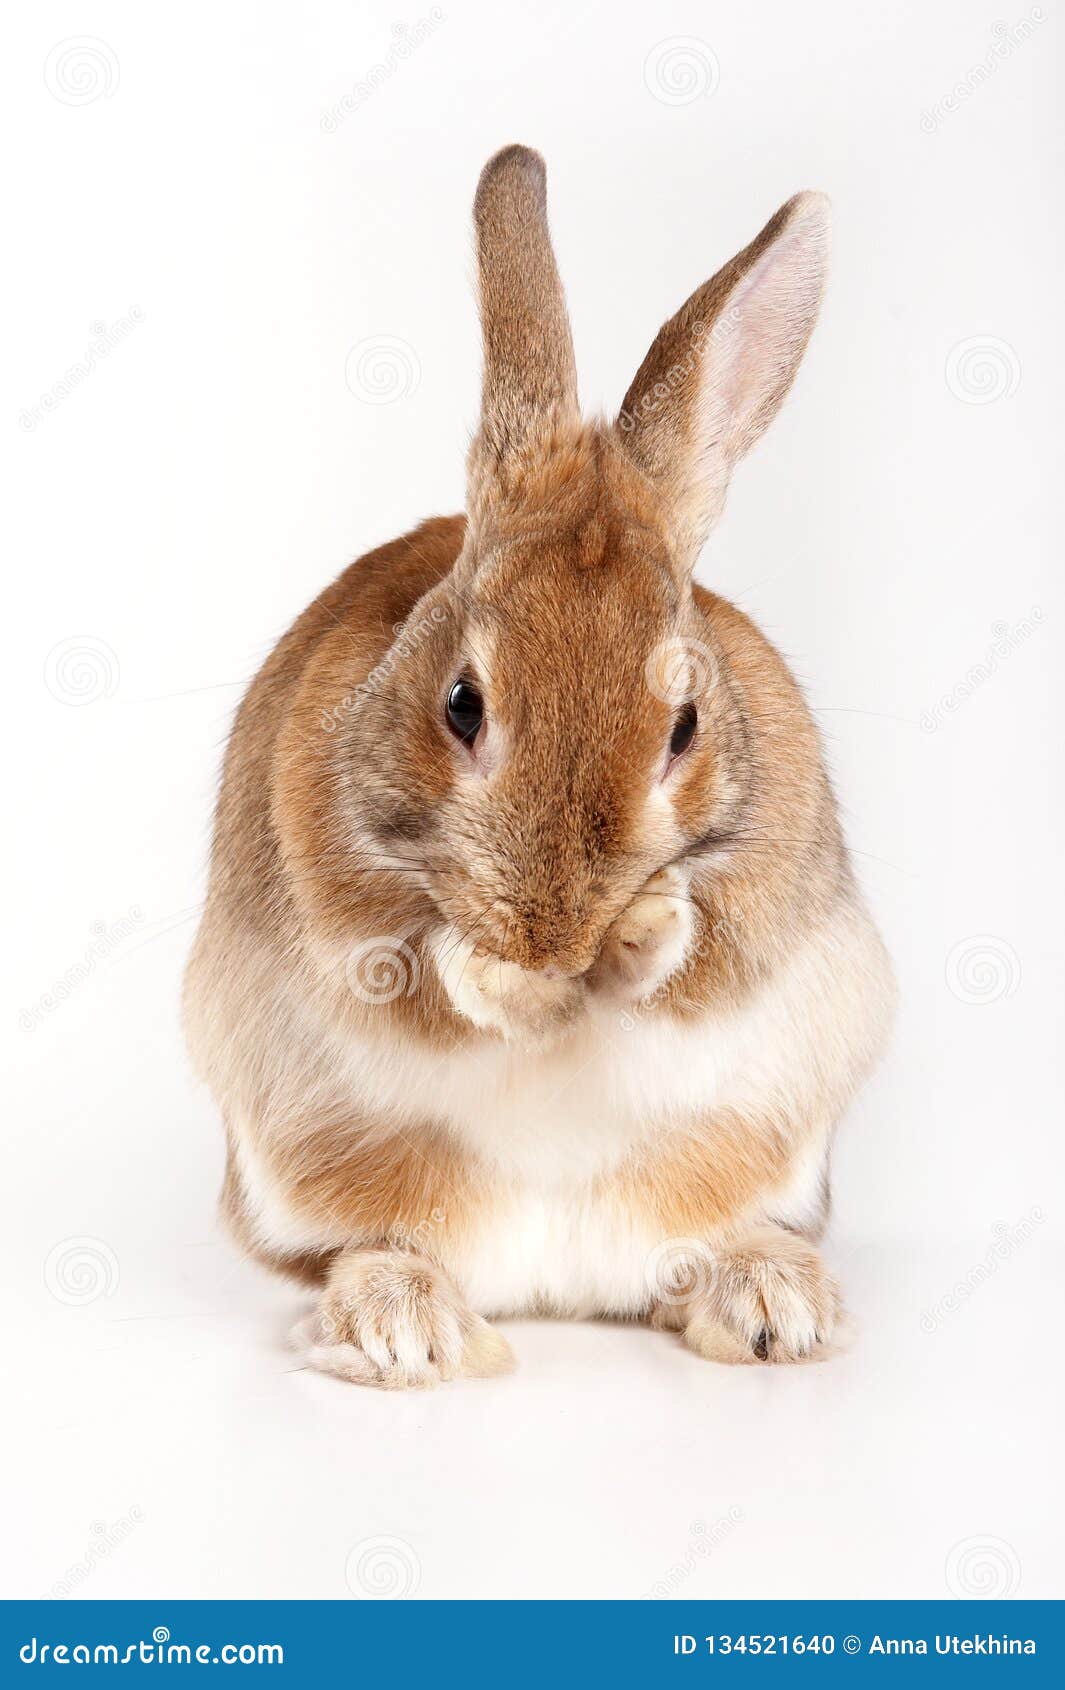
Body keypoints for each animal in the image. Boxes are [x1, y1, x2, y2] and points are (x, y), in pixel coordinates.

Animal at [183, 145, 895, 1387]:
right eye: (462, 705)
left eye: (685, 726)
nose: (553, 931)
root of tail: (560, 1281)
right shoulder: (342, 900)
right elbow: (427, 971)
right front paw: (520, 984)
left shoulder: (770, 894)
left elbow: (699, 954)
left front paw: (639, 932)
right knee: (360, 1249)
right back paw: (404, 1326)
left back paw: (767, 1300)